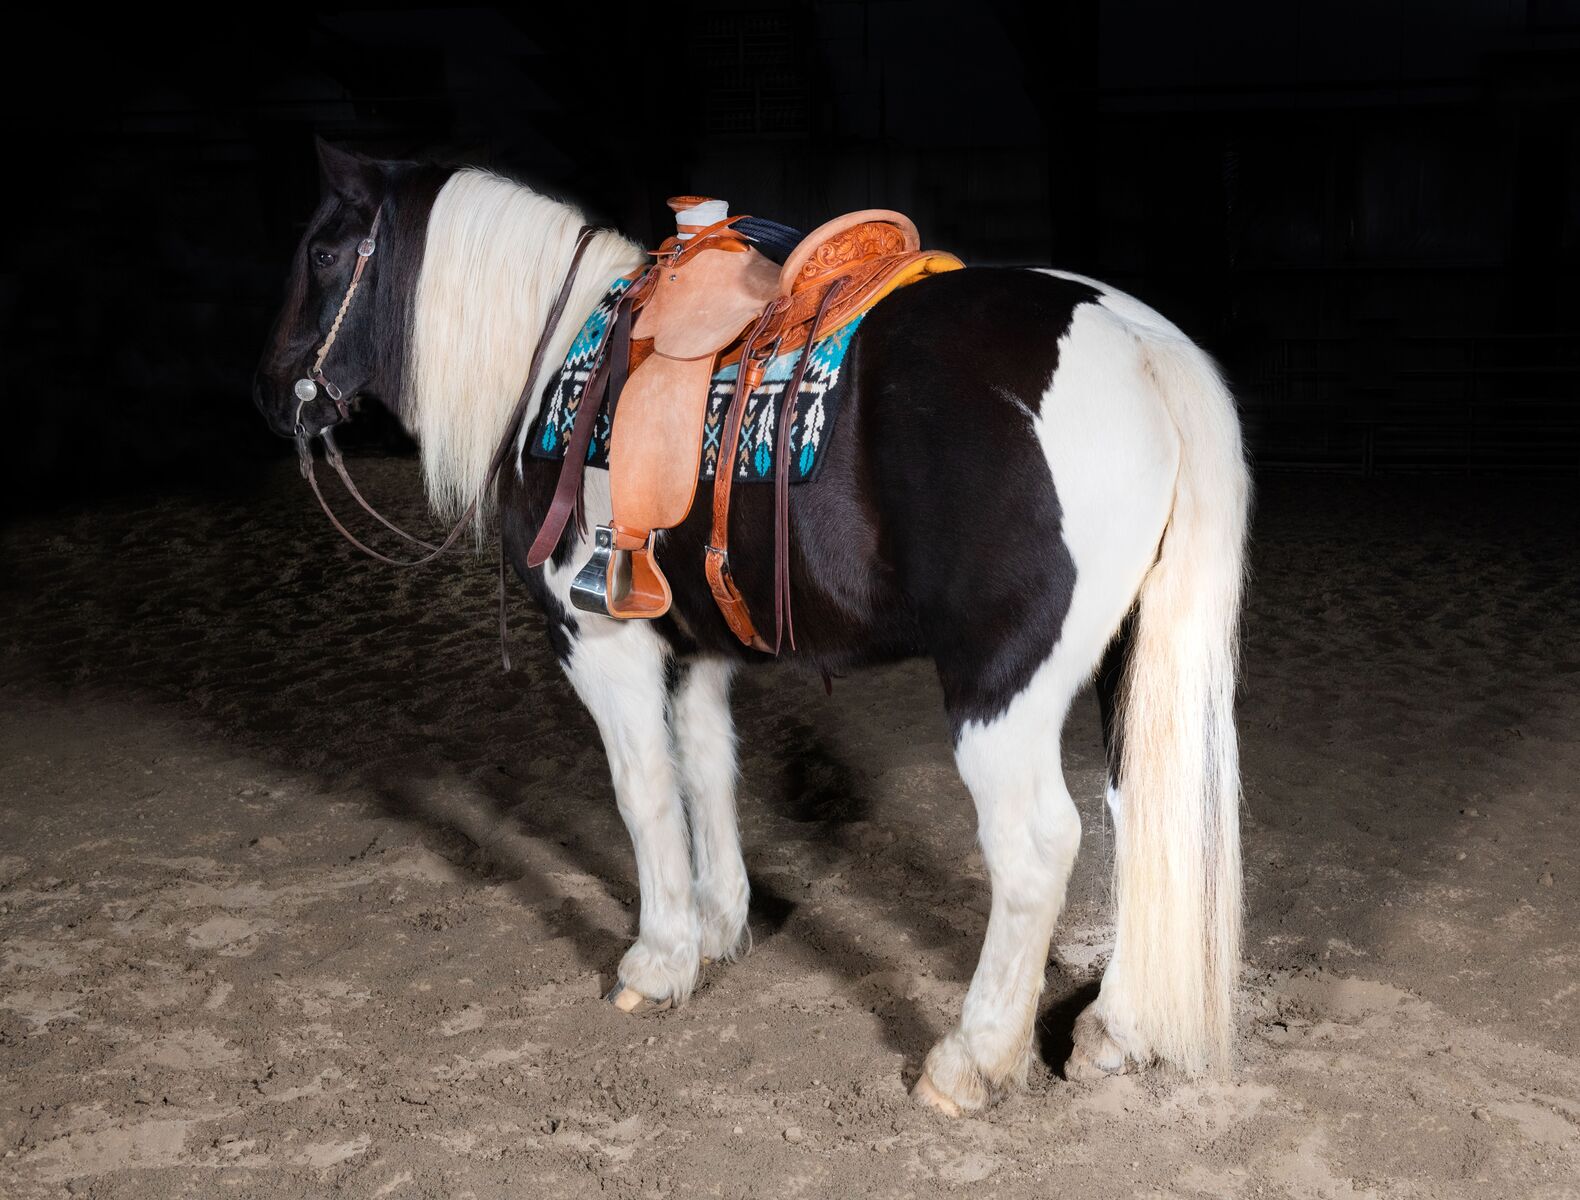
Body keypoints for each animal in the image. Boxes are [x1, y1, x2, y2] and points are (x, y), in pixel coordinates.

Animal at [253, 139, 1250, 1116]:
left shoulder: (597, 641)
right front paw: (719, 924)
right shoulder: (694, 648)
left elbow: (644, 789)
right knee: (1140, 816)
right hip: (1129, 666)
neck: (553, 364)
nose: (272, 395)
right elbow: (706, 770)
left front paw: (658, 960)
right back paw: (1115, 1031)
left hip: (1000, 684)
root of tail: (1142, 350)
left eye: (326, 253)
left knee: (1037, 846)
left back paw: (970, 1061)